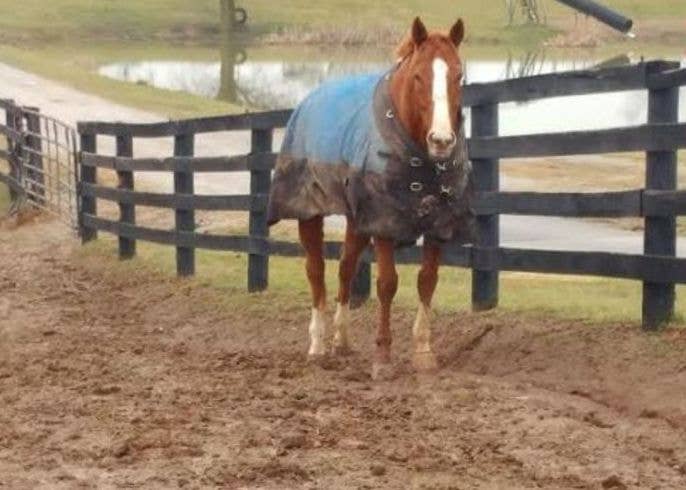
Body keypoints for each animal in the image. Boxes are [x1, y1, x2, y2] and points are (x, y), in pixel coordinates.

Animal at [267, 17, 474, 379]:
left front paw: (423, 352)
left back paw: (342, 341)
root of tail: (308, 102)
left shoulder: (437, 224)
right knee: (316, 270)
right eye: (418, 75)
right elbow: (387, 284)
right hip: (309, 213)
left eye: (458, 75)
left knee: (345, 269)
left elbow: (427, 281)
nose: (442, 140)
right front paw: (383, 357)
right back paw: (317, 344)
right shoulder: (383, 224)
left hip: (355, 221)